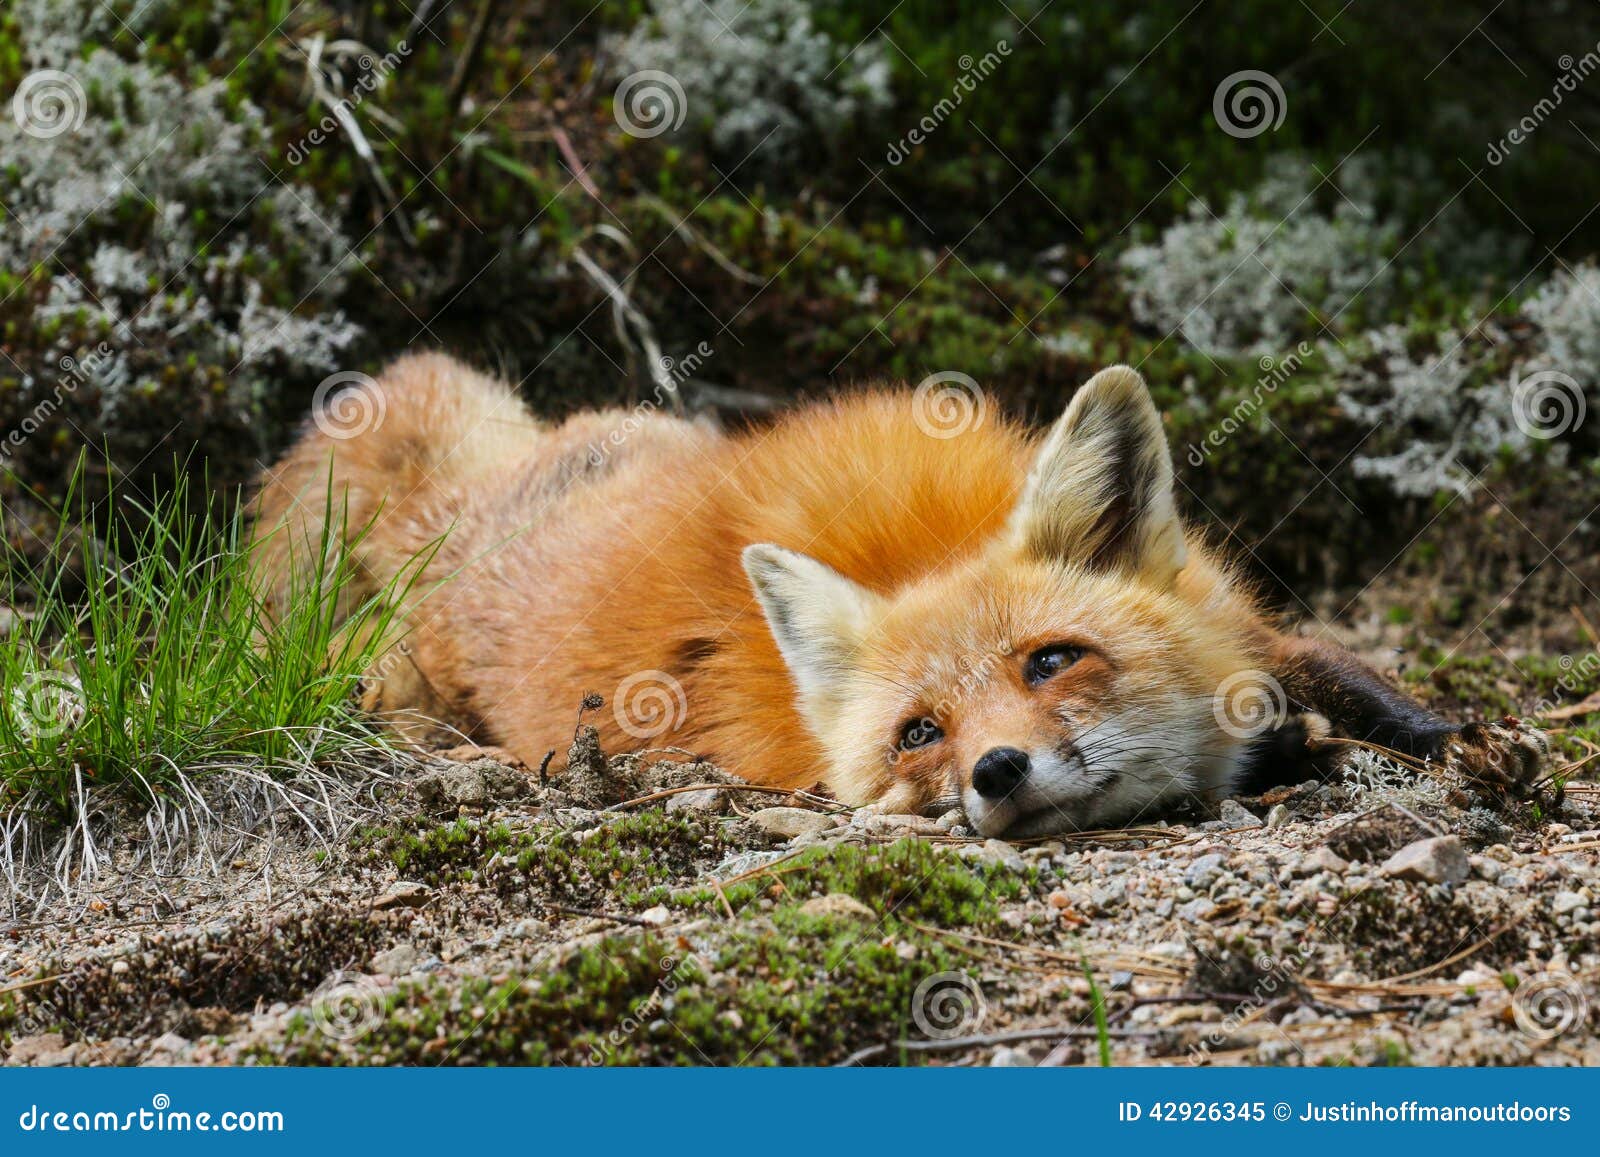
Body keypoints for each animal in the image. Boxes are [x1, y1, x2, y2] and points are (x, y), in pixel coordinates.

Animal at [250, 353, 1467, 837]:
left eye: (1051, 658)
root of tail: (464, 521)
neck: (909, 549)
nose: (997, 770)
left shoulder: (1250, 625)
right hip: (398, 685)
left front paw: (1427, 733)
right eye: (920, 732)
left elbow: (1319, 666)